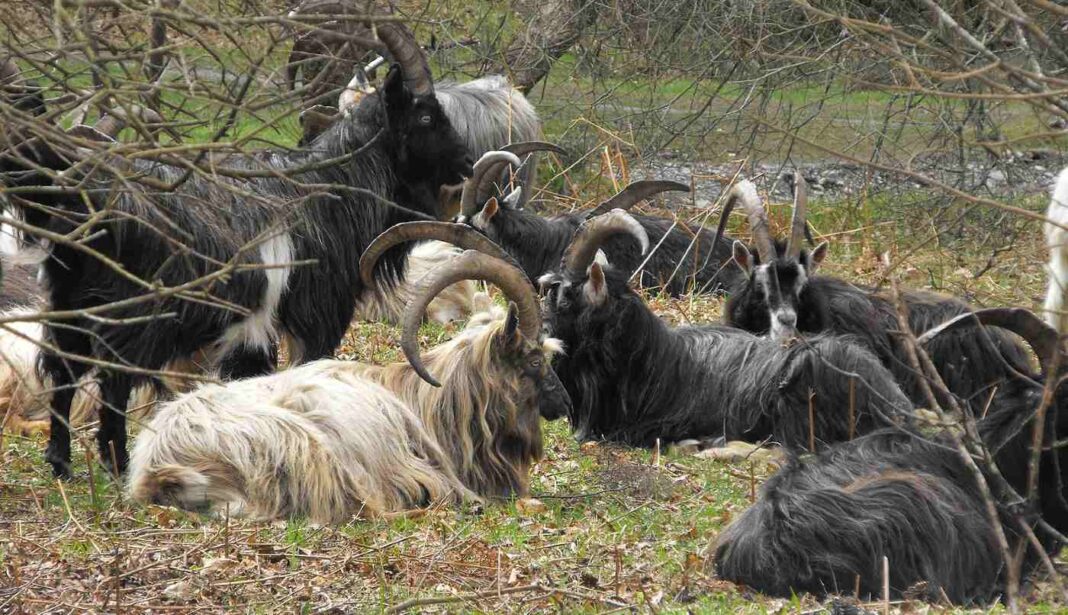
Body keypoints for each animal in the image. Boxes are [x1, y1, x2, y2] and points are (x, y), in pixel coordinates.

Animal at [0, 23, 473, 478]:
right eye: (426, 115)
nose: (467, 163)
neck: (329, 192)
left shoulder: (252, 327)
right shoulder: (316, 313)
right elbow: (309, 369)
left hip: (68, 301)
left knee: (62, 368)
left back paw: (62, 464)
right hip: (135, 313)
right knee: (113, 381)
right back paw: (116, 467)